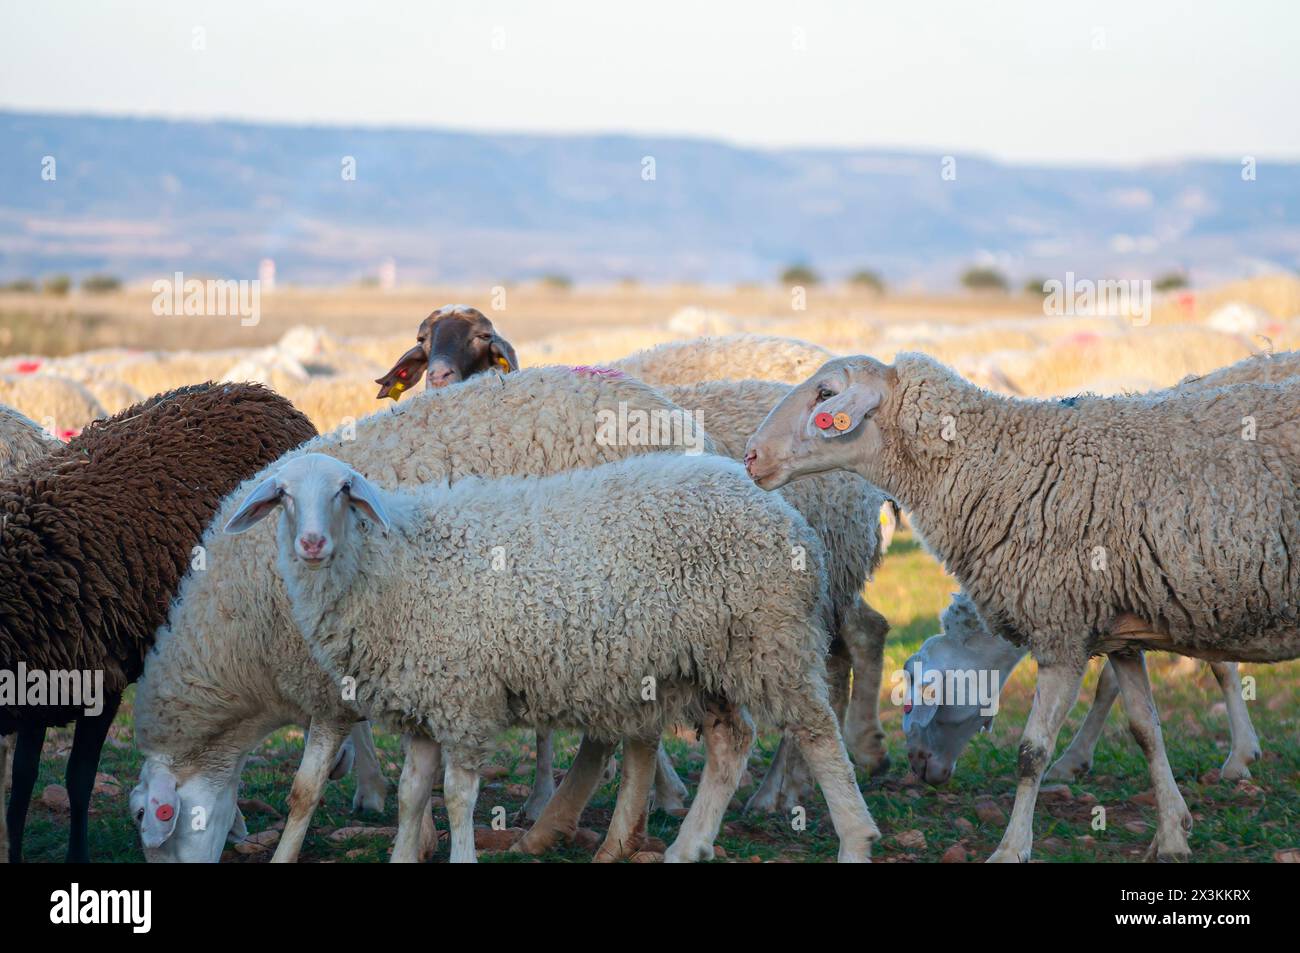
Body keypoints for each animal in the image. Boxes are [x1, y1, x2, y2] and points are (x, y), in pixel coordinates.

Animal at [0, 382, 316, 863]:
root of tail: (260, 393)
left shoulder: (103, 680)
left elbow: (78, 777)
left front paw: (78, 855)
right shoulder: (40, 685)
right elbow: (21, 784)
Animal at [130, 366, 717, 863]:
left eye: (150, 818)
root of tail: (681, 421)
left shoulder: (334, 686)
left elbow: (305, 790)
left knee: (639, 736)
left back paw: (605, 831)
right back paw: (562, 825)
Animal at [223, 450, 881, 863]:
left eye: (343, 491)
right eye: (281, 496)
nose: (312, 544)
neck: (391, 562)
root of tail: (783, 512)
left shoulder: (465, 696)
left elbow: (458, 796)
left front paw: (462, 856)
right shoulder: (426, 701)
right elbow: (413, 795)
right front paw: (404, 855)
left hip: (770, 640)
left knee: (820, 737)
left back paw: (855, 841)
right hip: (708, 656)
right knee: (730, 742)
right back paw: (685, 847)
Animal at [900, 593, 1261, 785]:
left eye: (911, 703)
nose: (916, 766)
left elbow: (1221, 664)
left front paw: (1241, 755)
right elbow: (1110, 680)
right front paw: (1073, 760)